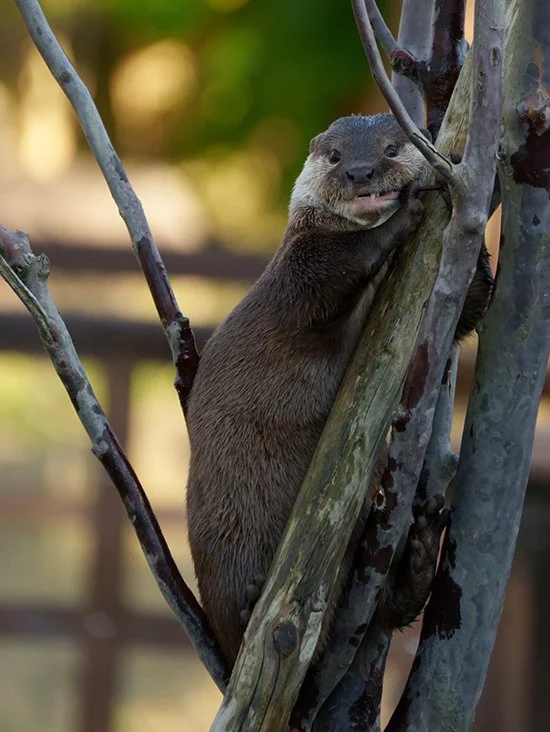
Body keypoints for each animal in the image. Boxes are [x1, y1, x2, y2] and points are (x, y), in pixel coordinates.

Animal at [186, 113, 493, 666]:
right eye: (334, 156)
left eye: (391, 147)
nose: (361, 171)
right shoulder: (299, 272)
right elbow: (336, 270)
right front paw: (406, 212)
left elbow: (467, 314)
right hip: (226, 539)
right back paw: (252, 602)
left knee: (388, 606)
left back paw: (420, 548)